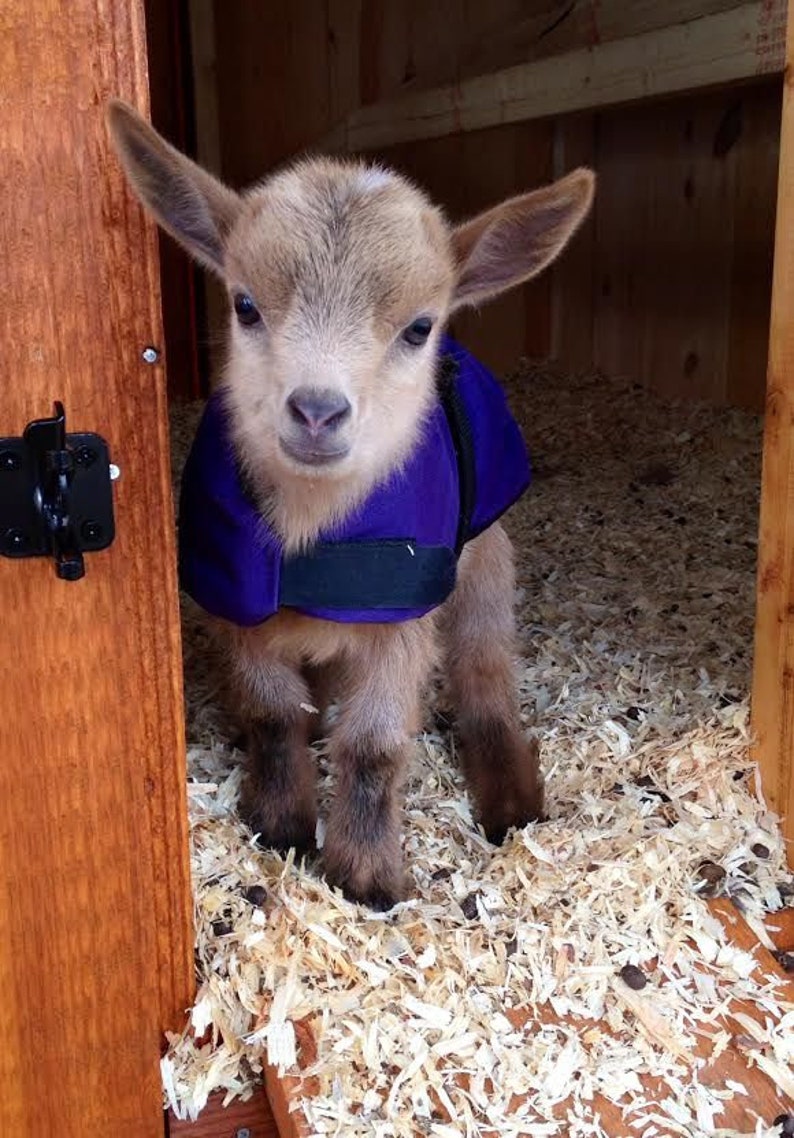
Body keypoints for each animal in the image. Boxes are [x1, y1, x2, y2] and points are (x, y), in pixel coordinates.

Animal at [107, 100, 595, 910]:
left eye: (419, 327)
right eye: (244, 305)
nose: (316, 411)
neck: (315, 542)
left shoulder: (402, 618)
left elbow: (373, 745)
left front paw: (365, 875)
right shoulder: (241, 608)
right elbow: (273, 714)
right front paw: (280, 823)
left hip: (485, 560)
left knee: (485, 672)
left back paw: (511, 801)